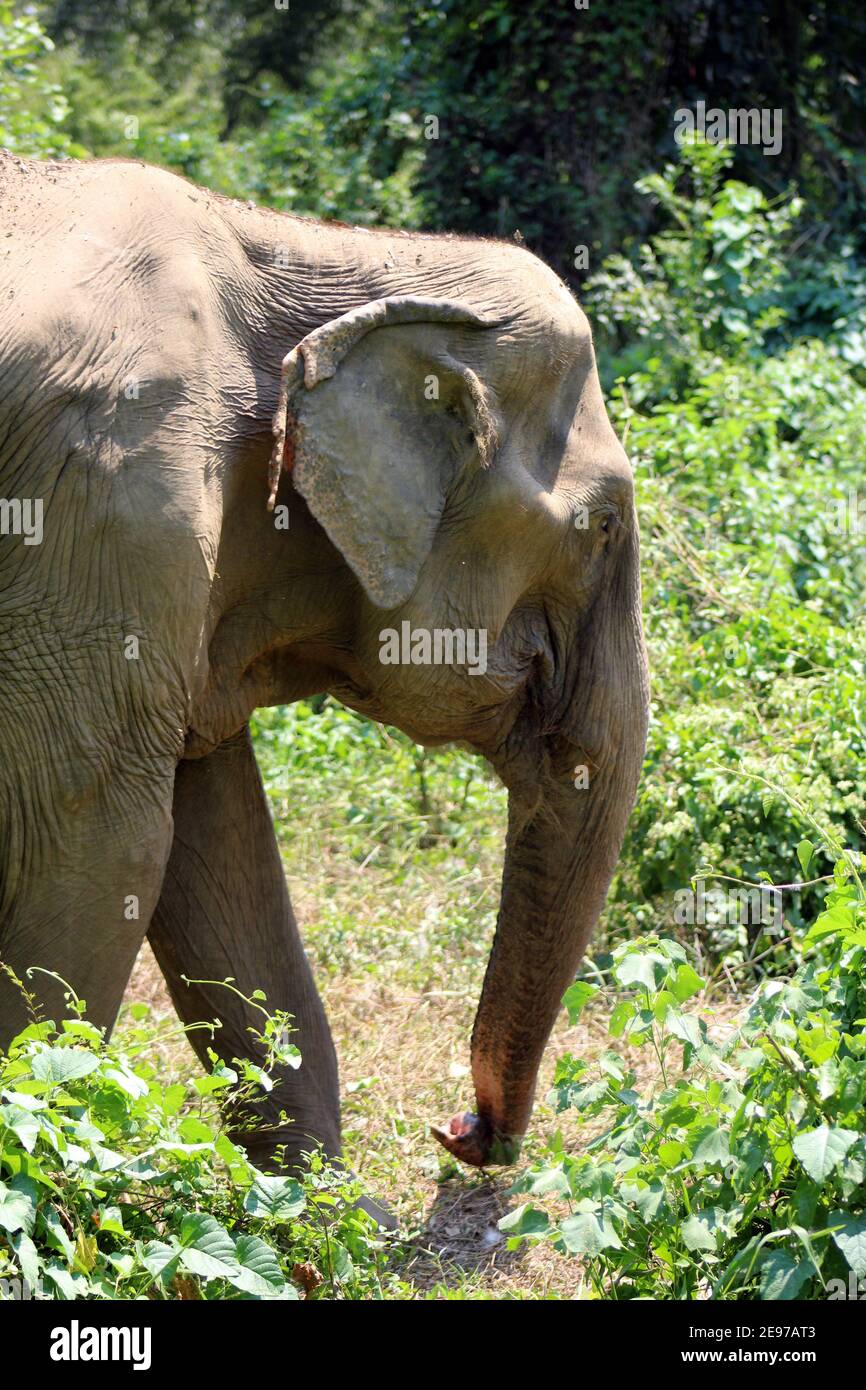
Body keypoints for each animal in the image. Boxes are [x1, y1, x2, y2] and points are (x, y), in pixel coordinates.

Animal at [0, 149, 648, 1176]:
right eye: (604, 527)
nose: (457, 1129)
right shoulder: (102, 504)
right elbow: (101, 845)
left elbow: (216, 844)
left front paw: (315, 1206)